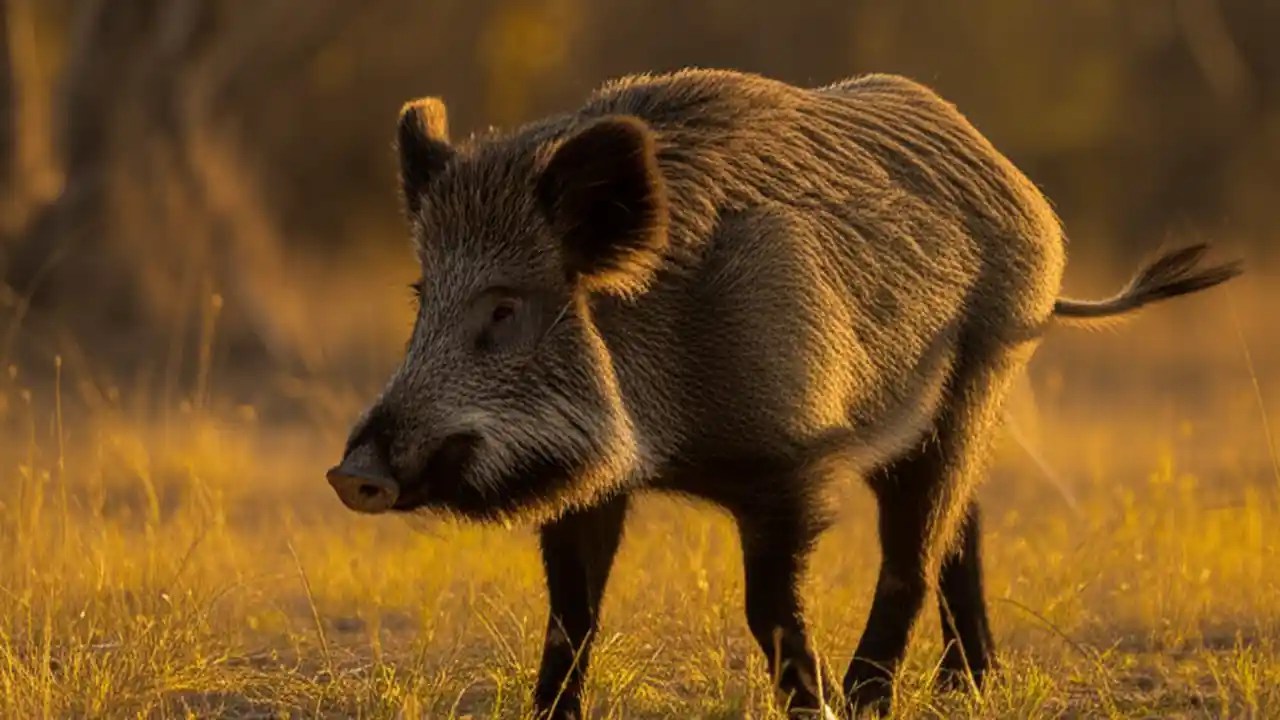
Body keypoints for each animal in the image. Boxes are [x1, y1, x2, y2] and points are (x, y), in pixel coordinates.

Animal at [325, 68, 1241, 718]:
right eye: (421, 299)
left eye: (505, 309)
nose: (351, 474)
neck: (672, 438)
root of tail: (1022, 193)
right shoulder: (594, 484)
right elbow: (572, 610)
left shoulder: (790, 461)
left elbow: (768, 607)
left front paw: (823, 706)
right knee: (963, 528)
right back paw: (965, 690)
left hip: (979, 375)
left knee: (913, 553)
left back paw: (874, 702)